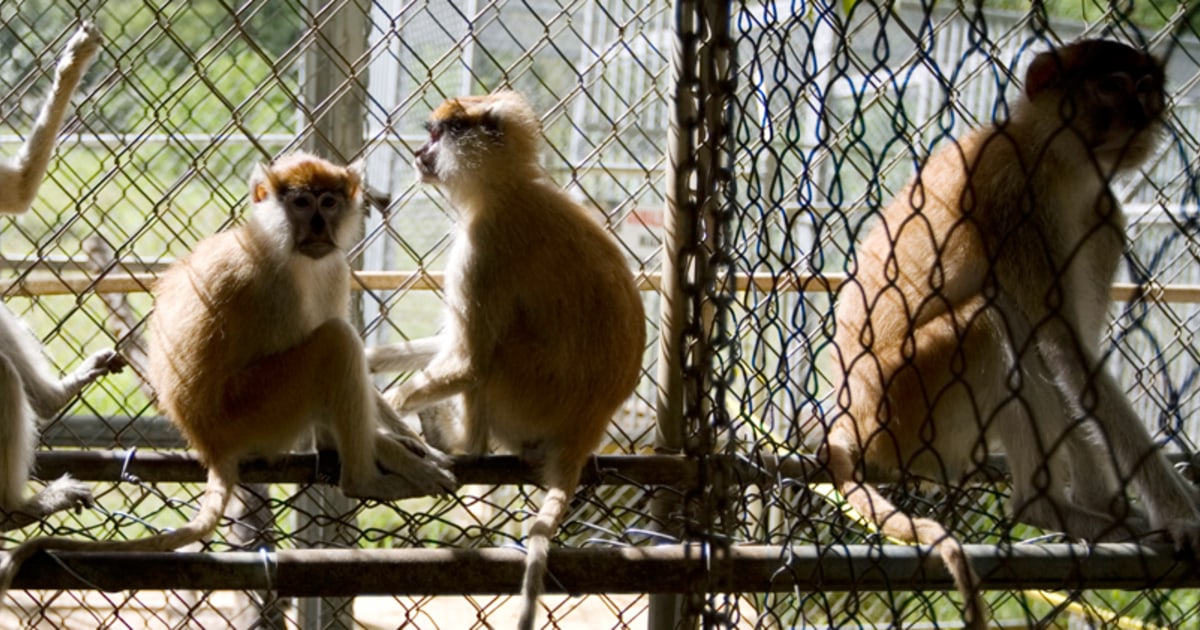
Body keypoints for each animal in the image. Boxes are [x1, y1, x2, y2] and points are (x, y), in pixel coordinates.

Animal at [0, 151, 458, 594]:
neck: (283, 246)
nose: (317, 226)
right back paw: (362, 481)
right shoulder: (273, 286)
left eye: (328, 202)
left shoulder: (331, 267)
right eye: (301, 202)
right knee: (333, 343)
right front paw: (401, 453)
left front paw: (410, 440)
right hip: (256, 413)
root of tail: (210, 444)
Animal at [367, 90, 645, 630]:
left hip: (525, 401)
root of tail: (587, 426)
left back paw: (463, 445)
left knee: (492, 365)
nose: (419, 152)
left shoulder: (485, 247)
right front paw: (367, 362)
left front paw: (384, 415)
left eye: (440, 133)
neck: (507, 187)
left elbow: (470, 363)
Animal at [826, 39, 1198, 630]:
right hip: (908, 404)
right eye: (1112, 86)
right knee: (996, 316)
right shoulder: (1012, 196)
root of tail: (849, 411)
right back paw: (1039, 505)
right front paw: (1184, 519)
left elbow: (1078, 356)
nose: (1144, 115)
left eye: (1147, 91)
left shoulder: (1103, 217)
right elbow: (1064, 347)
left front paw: (1119, 504)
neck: (1052, 154)